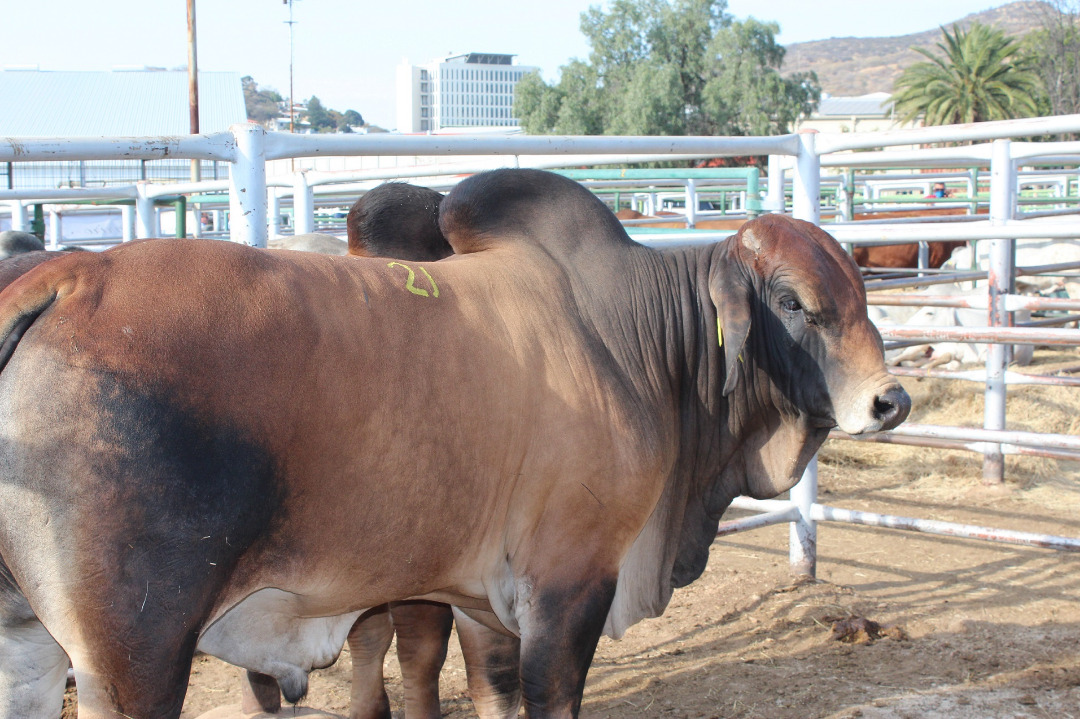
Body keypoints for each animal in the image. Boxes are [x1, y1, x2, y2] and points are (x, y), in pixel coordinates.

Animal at [0, 168, 908, 719]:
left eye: (862, 288)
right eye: (791, 301)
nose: (890, 400)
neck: (635, 340)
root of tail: (65, 277)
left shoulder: (480, 602)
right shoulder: (570, 586)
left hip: (29, 643)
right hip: (133, 656)